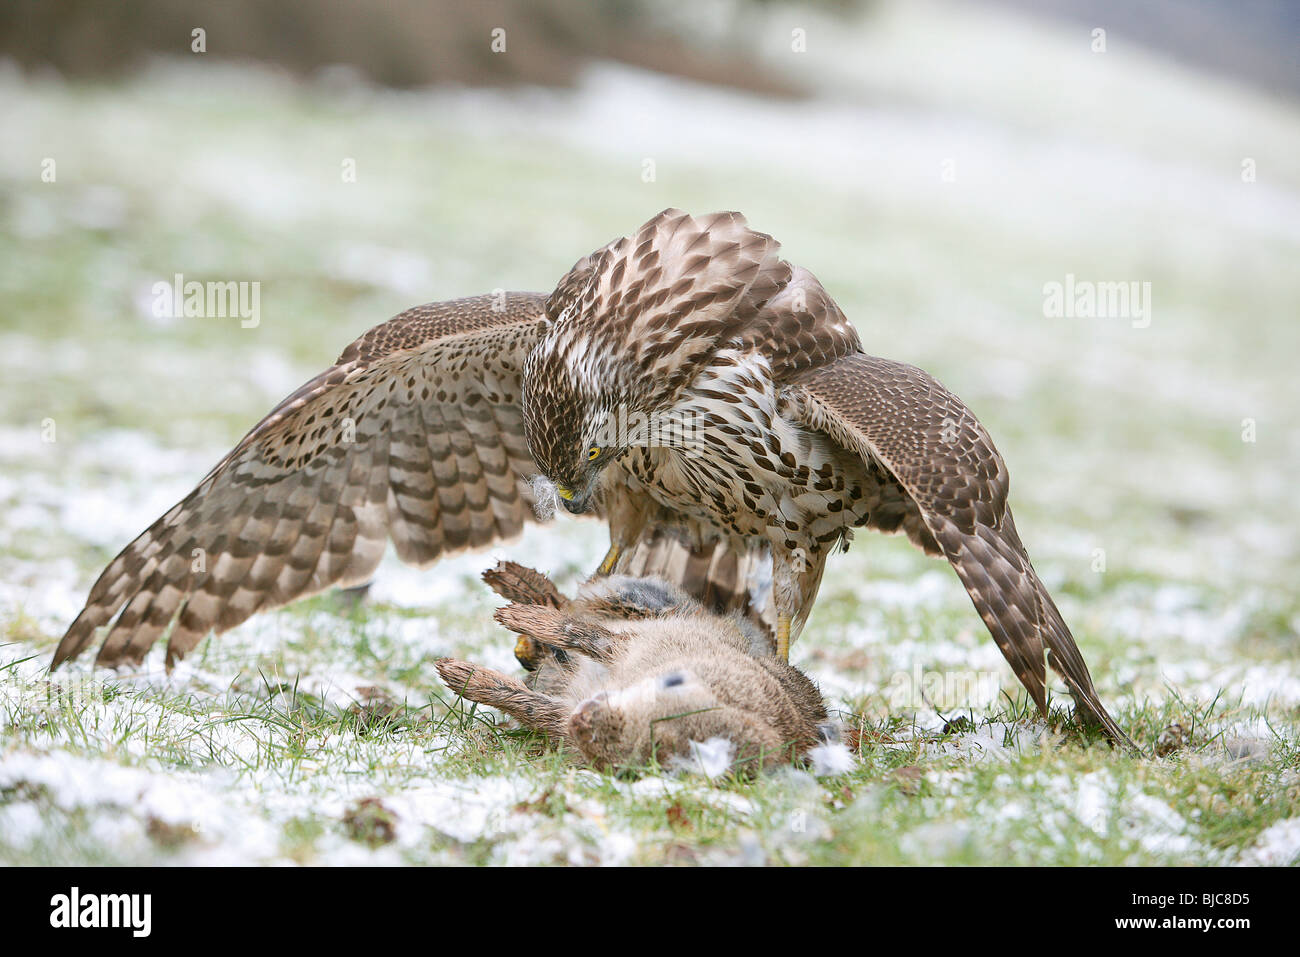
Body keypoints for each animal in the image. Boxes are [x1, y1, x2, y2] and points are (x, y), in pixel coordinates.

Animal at [436, 562, 840, 777]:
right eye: (673, 684)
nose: (586, 724)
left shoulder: (563, 709)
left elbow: (526, 702)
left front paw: (458, 675)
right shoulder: (634, 645)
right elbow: (579, 631)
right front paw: (513, 621)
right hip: (638, 599)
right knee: (577, 603)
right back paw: (510, 582)